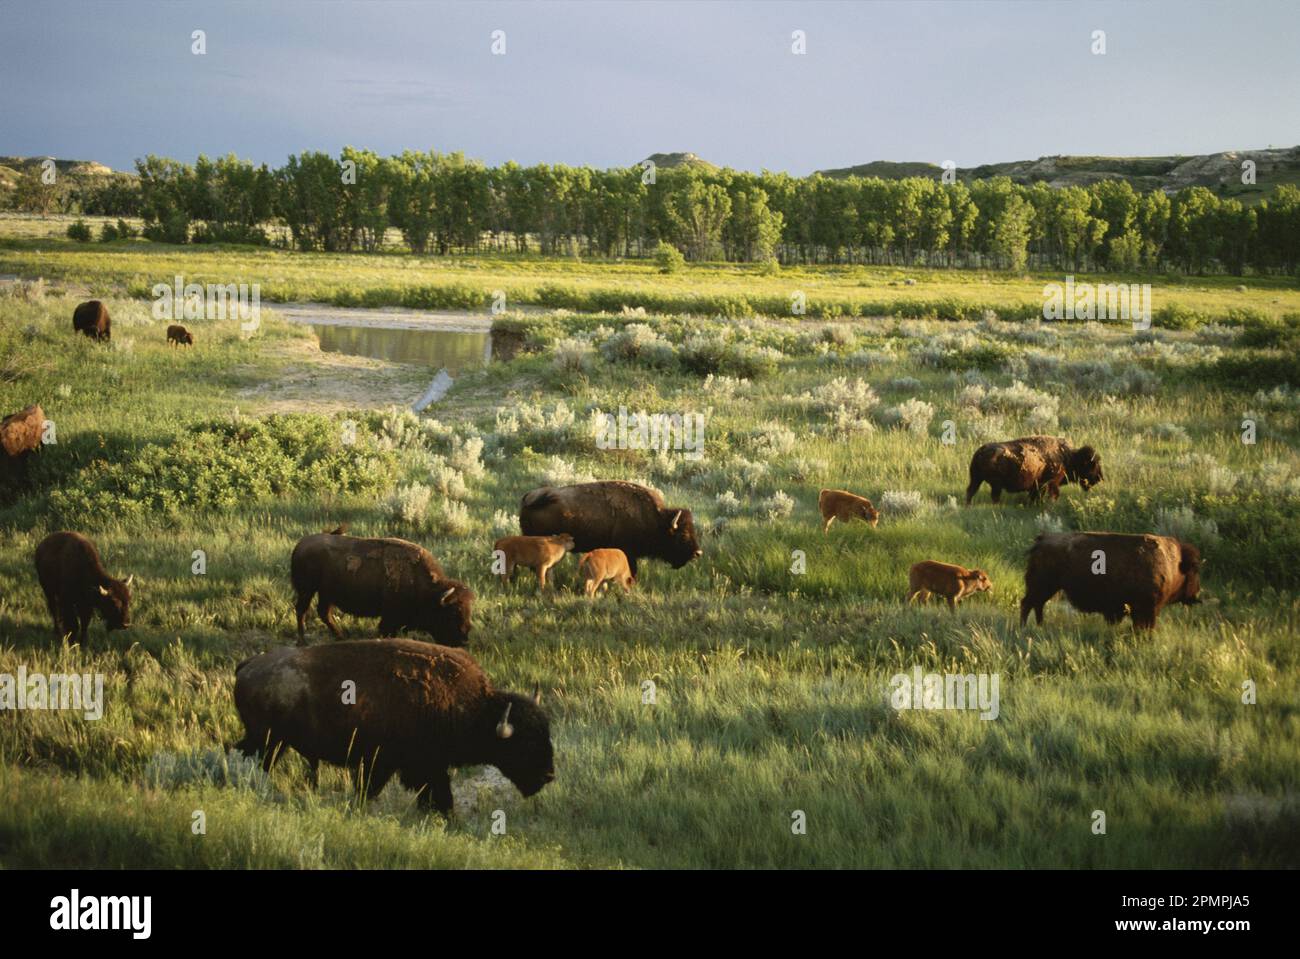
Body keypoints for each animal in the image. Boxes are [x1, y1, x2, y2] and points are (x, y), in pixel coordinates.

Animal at [234, 639, 555, 815]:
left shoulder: (425, 769)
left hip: (268, 741)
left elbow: (438, 797)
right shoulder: (391, 765)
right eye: (525, 742)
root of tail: (248, 665)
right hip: (269, 741)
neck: (477, 707)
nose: (549, 775)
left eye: (546, 733)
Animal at [290, 528, 474, 645]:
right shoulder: (389, 618)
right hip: (307, 590)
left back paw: (340, 637)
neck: (426, 589)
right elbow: (385, 631)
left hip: (325, 593)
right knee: (302, 610)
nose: (464, 639)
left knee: (323, 612)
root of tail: (300, 544)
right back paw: (303, 641)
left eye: (468, 611)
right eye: (452, 613)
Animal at [966, 435, 1103, 505]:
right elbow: (1053, 495)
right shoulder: (1050, 483)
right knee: (994, 496)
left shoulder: (1037, 486)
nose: (1100, 478)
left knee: (971, 491)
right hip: (995, 484)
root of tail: (980, 451)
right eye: (1092, 465)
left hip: (976, 479)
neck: (1068, 457)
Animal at [1020, 531, 1201, 630]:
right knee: (1028, 603)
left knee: (1037, 605)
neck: (1175, 564)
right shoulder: (1147, 609)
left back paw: (1039, 626)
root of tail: (1042, 539)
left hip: (1047, 588)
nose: (1196, 593)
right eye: (1194, 570)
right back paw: (1024, 628)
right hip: (1042, 586)